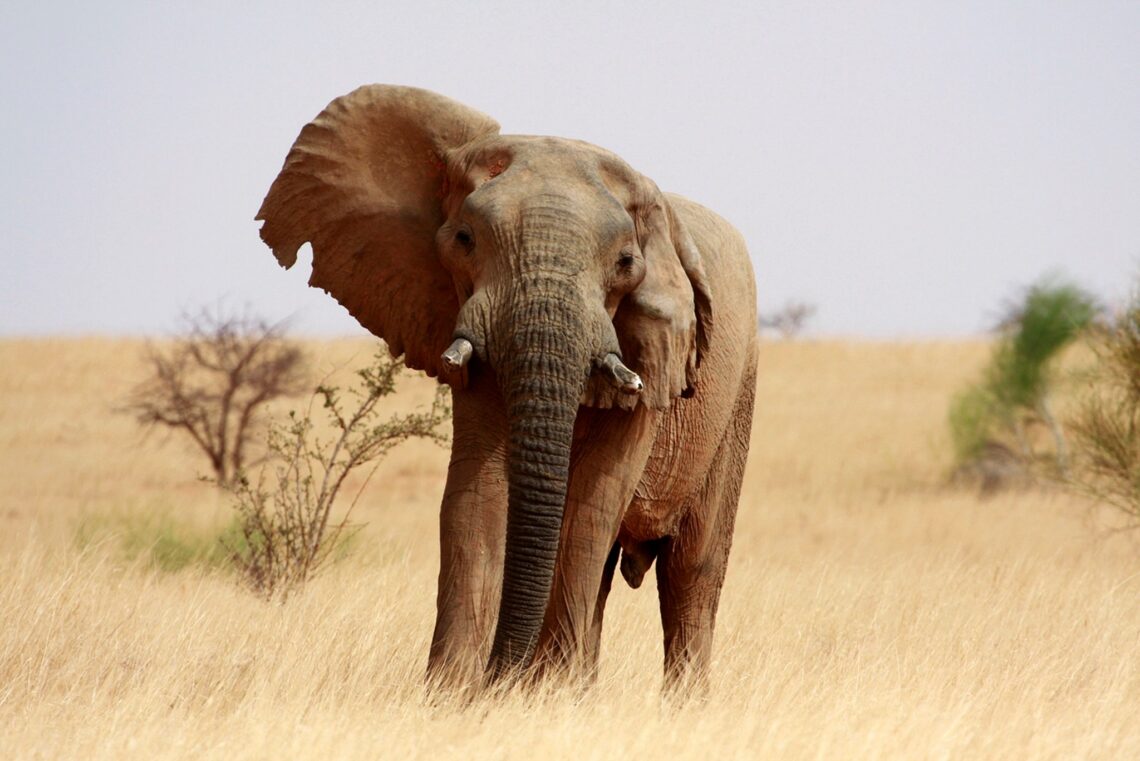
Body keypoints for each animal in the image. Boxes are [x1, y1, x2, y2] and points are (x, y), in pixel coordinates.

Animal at [256, 85, 758, 692]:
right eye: (464, 240)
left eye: (626, 263)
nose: (502, 675)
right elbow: (477, 491)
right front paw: (454, 694)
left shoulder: (655, 352)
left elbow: (593, 502)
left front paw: (542, 694)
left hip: (738, 395)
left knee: (693, 571)